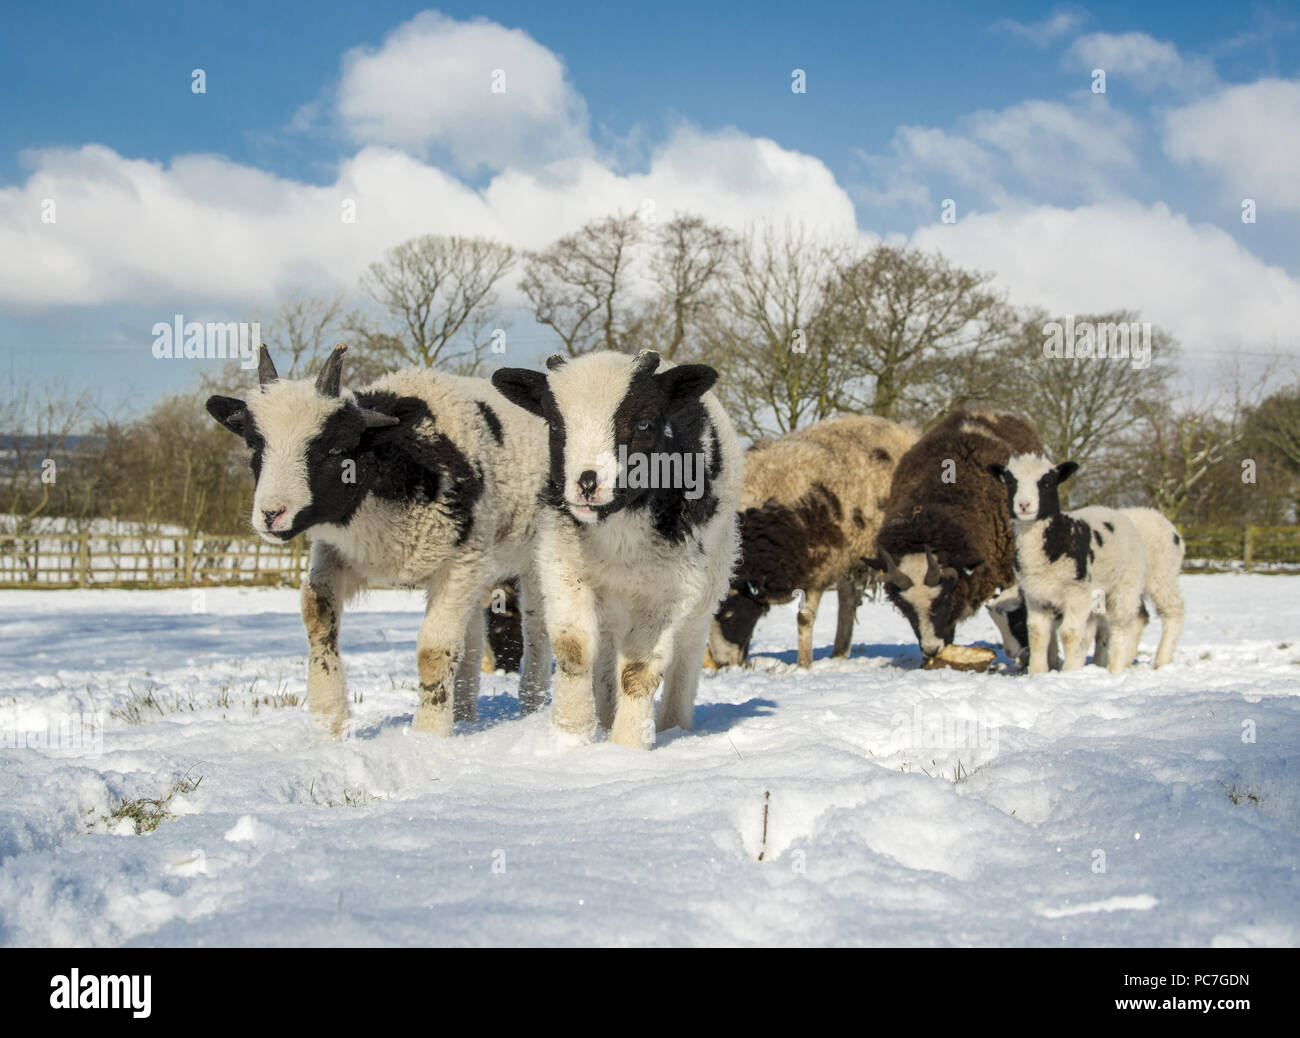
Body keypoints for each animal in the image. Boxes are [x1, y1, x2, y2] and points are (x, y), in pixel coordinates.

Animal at [205, 344, 551, 736]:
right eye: (255, 446)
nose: (270, 514)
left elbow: (434, 649)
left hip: (531, 560)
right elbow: (317, 616)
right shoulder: (337, 554)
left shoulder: (462, 562)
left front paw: (428, 734)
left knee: (536, 629)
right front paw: (329, 719)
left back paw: (530, 705)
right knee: (474, 639)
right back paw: (463, 714)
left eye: (336, 449)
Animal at [491, 349, 743, 748]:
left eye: (643, 424)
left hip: (709, 581)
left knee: (688, 647)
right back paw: (605, 718)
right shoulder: (564, 565)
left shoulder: (670, 589)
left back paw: (674, 725)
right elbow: (575, 649)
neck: (618, 528)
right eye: (554, 426)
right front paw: (570, 737)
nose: (587, 484)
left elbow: (639, 669)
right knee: (607, 644)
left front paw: (627, 747)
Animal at [706, 415, 917, 668]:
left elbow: (804, 618)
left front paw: (804, 665)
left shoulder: (819, 572)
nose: (721, 663)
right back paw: (839, 653)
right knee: (847, 601)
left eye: (728, 615)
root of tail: (902, 428)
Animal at [986, 454, 1146, 674]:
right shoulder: (1035, 595)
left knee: (1120, 627)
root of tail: (1112, 511)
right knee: (1090, 630)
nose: (1024, 505)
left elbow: (1069, 633)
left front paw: (1068, 672)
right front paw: (1038, 672)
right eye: (1010, 482)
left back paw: (1114, 670)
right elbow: (1037, 634)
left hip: (1125, 585)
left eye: (1047, 482)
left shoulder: (1076, 594)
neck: (1059, 538)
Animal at [990, 507, 1184, 670]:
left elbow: (1089, 635)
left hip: (1160, 576)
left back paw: (1161, 660)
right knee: (1139, 617)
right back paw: (1127, 660)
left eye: (1017, 622)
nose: (1009, 653)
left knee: (1173, 610)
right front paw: (1051, 663)